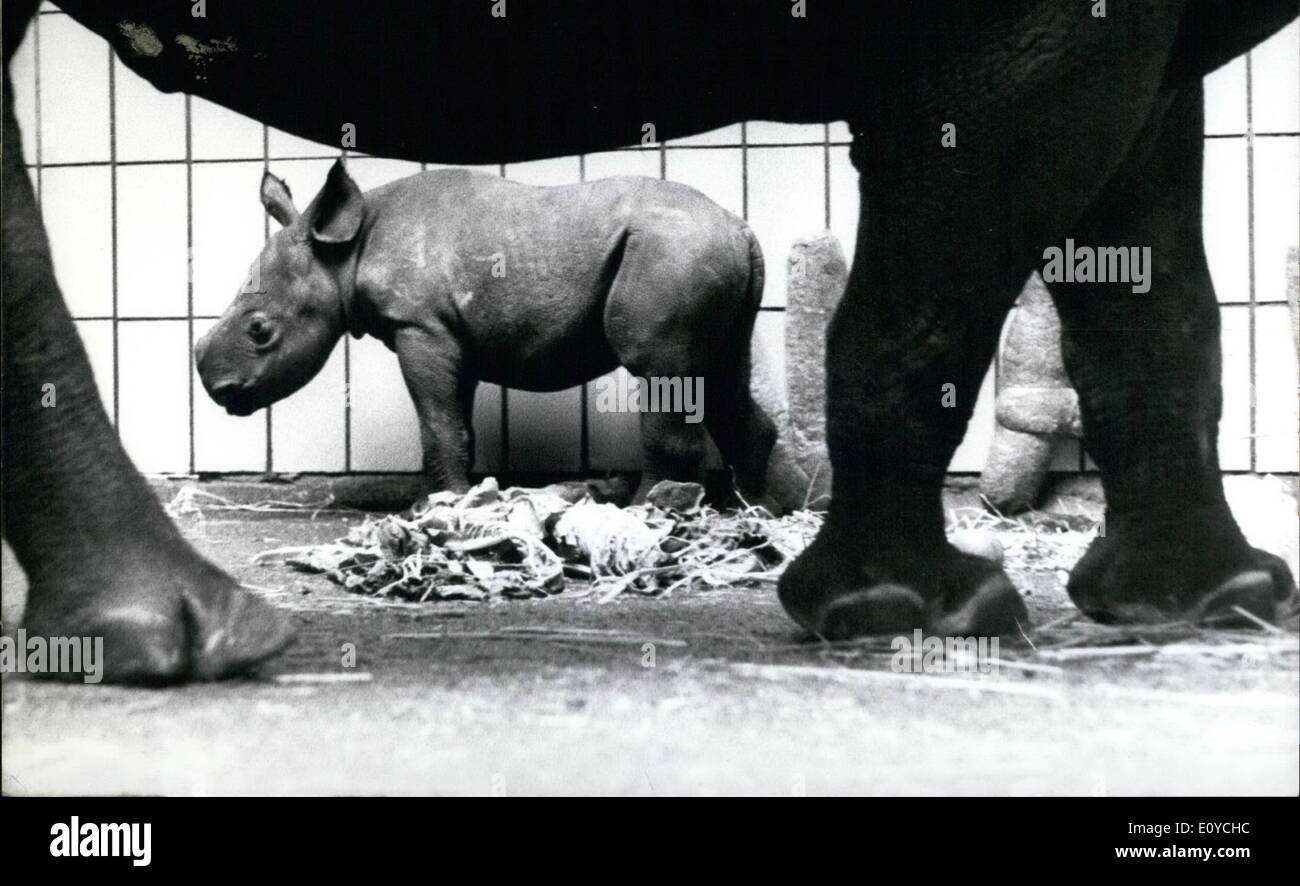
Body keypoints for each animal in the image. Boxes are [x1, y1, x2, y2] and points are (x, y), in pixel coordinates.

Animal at [194, 163, 805, 508]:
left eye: (259, 331)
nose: (220, 393)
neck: (342, 255)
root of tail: (741, 227)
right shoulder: (445, 333)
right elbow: (452, 423)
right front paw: (443, 503)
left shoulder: (419, 325)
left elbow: (437, 424)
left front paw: (436, 509)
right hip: (706, 256)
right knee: (722, 374)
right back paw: (756, 512)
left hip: (672, 253)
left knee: (660, 372)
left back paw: (643, 512)